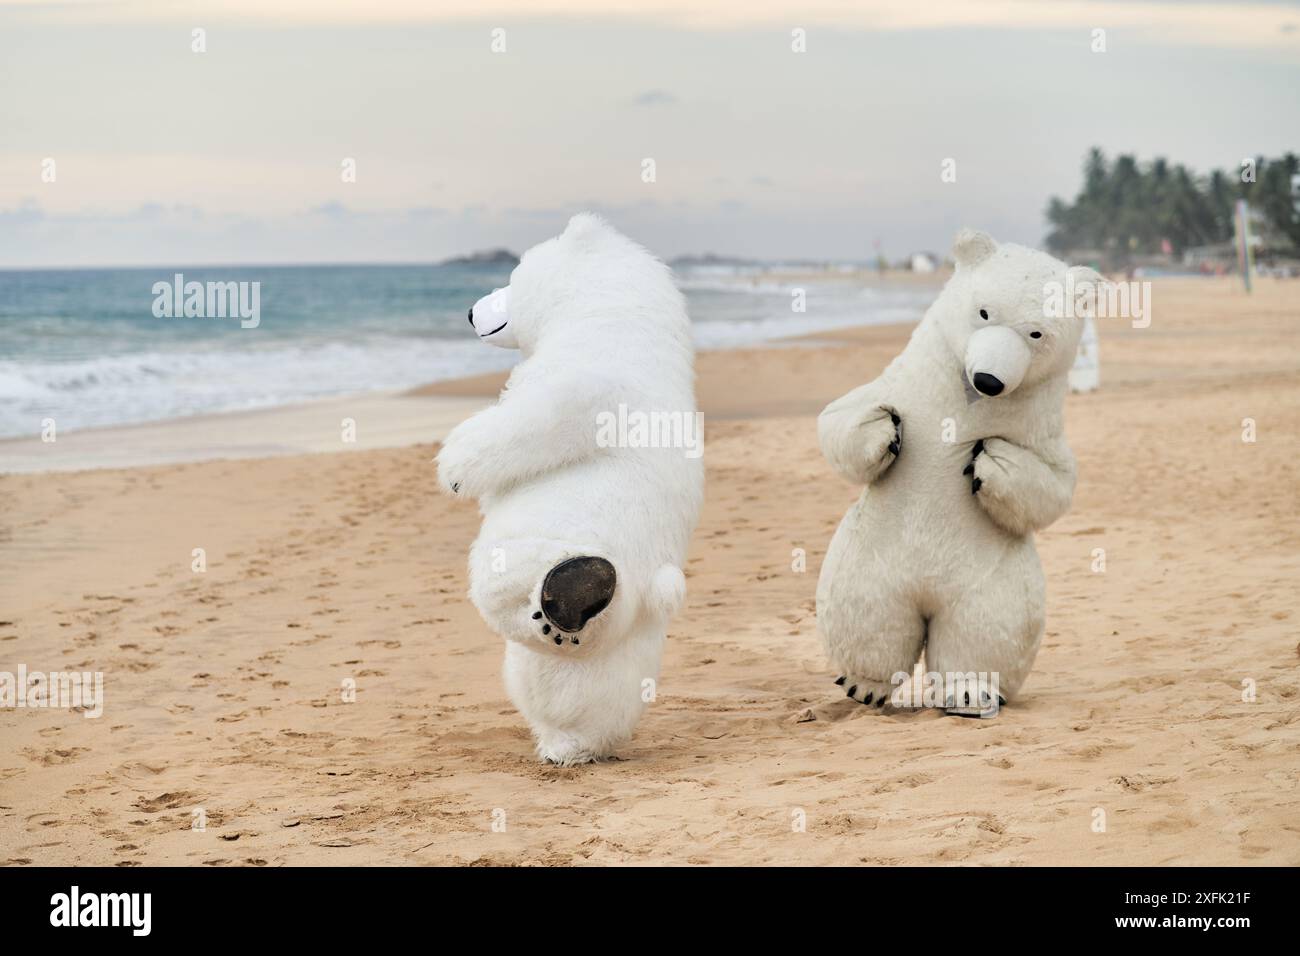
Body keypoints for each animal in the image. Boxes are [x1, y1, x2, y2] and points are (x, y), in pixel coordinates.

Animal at [437, 213, 704, 764]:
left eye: (512, 276)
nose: (471, 311)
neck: (615, 311)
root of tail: (644, 597)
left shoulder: (600, 369)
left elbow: (555, 409)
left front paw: (454, 467)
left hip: (547, 548)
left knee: (506, 583)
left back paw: (572, 588)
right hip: (622, 656)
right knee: (589, 689)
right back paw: (567, 743)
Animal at [816, 229, 1101, 717]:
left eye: (1036, 333)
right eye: (984, 312)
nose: (989, 380)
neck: (968, 399)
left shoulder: (1042, 431)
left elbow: (1056, 486)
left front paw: (990, 460)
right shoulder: (897, 385)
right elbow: (837, 420)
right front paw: (884, 428)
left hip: (998, 582)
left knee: (986, 629)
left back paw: (970, 691)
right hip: (866, 560)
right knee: (867, 611)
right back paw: (863, 683)